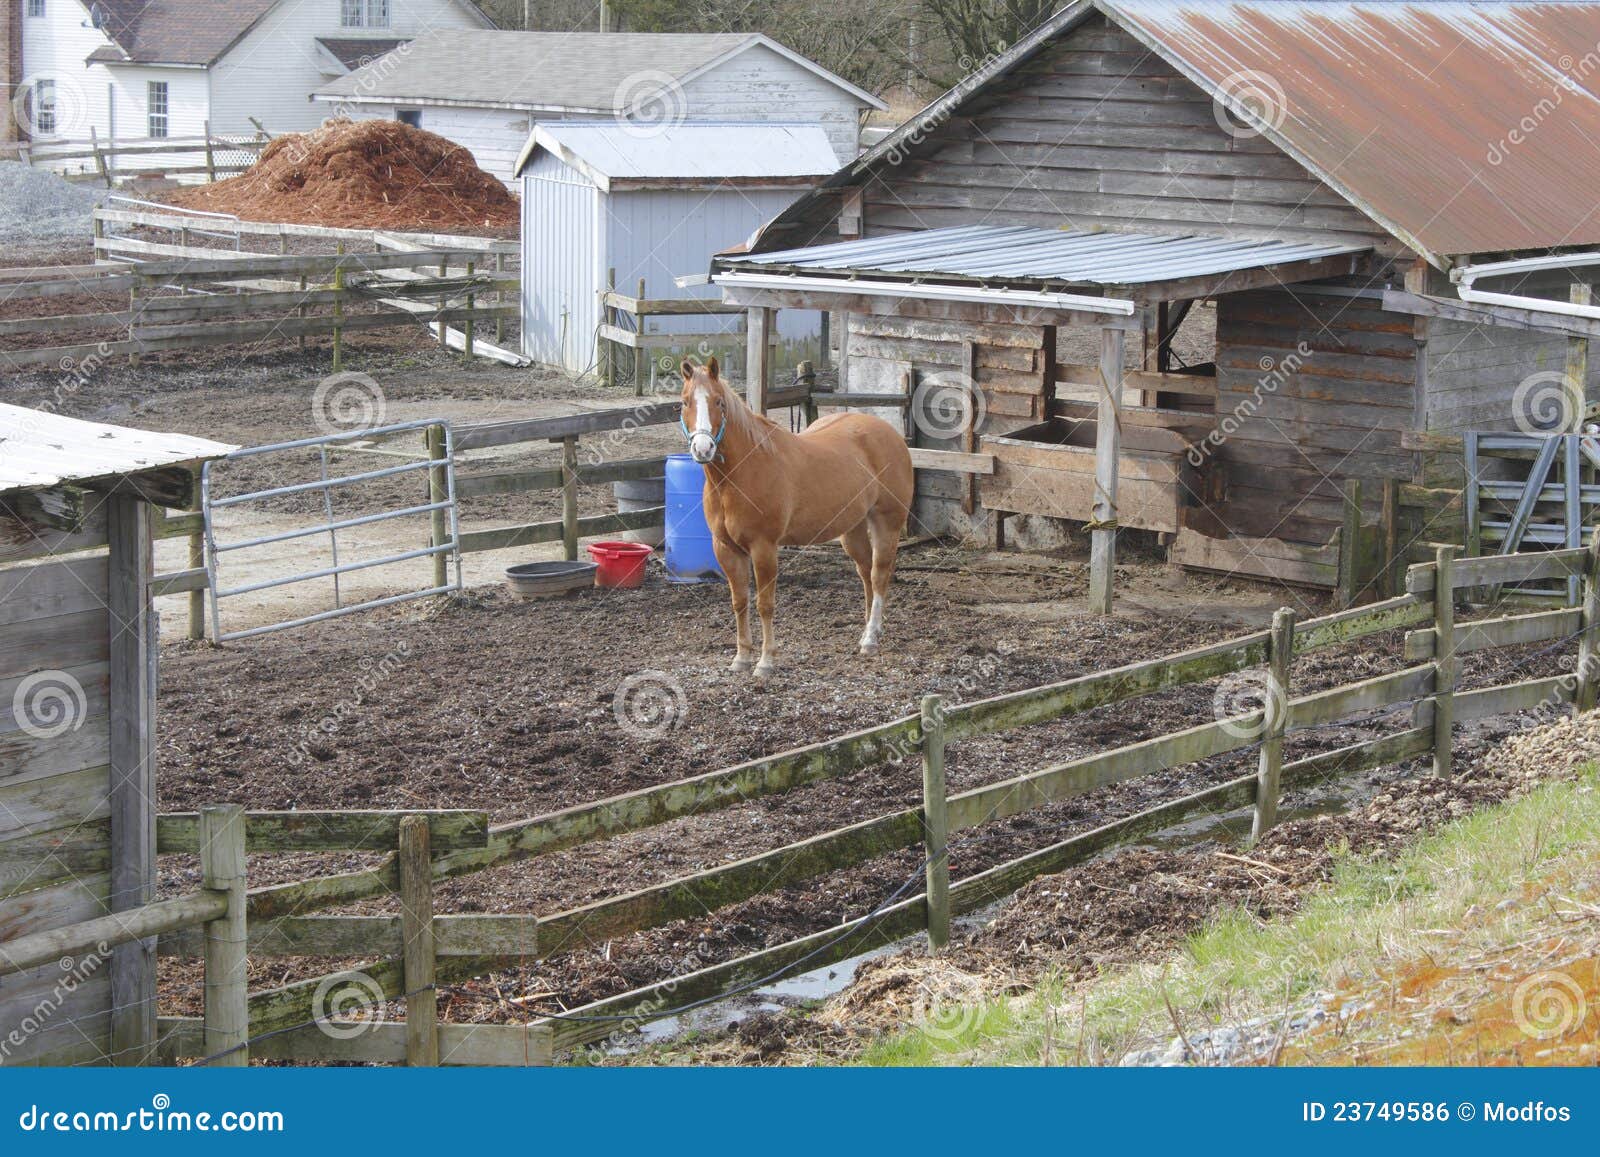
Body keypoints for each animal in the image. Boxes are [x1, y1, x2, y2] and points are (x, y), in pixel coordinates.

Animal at [680, 356, 914, 677]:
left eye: (719, 402)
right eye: (685, 402)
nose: (703, 449)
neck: (741, 472)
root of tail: (891, 434)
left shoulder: (764, 548)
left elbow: (765, 604)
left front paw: (766, 662)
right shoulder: (726, 548)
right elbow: (739, 602)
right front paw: (741, 658)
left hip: (887, 523)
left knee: (879, 576)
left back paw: (870, 640)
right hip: (852, 530)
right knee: (866, 573)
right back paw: (869, 631)